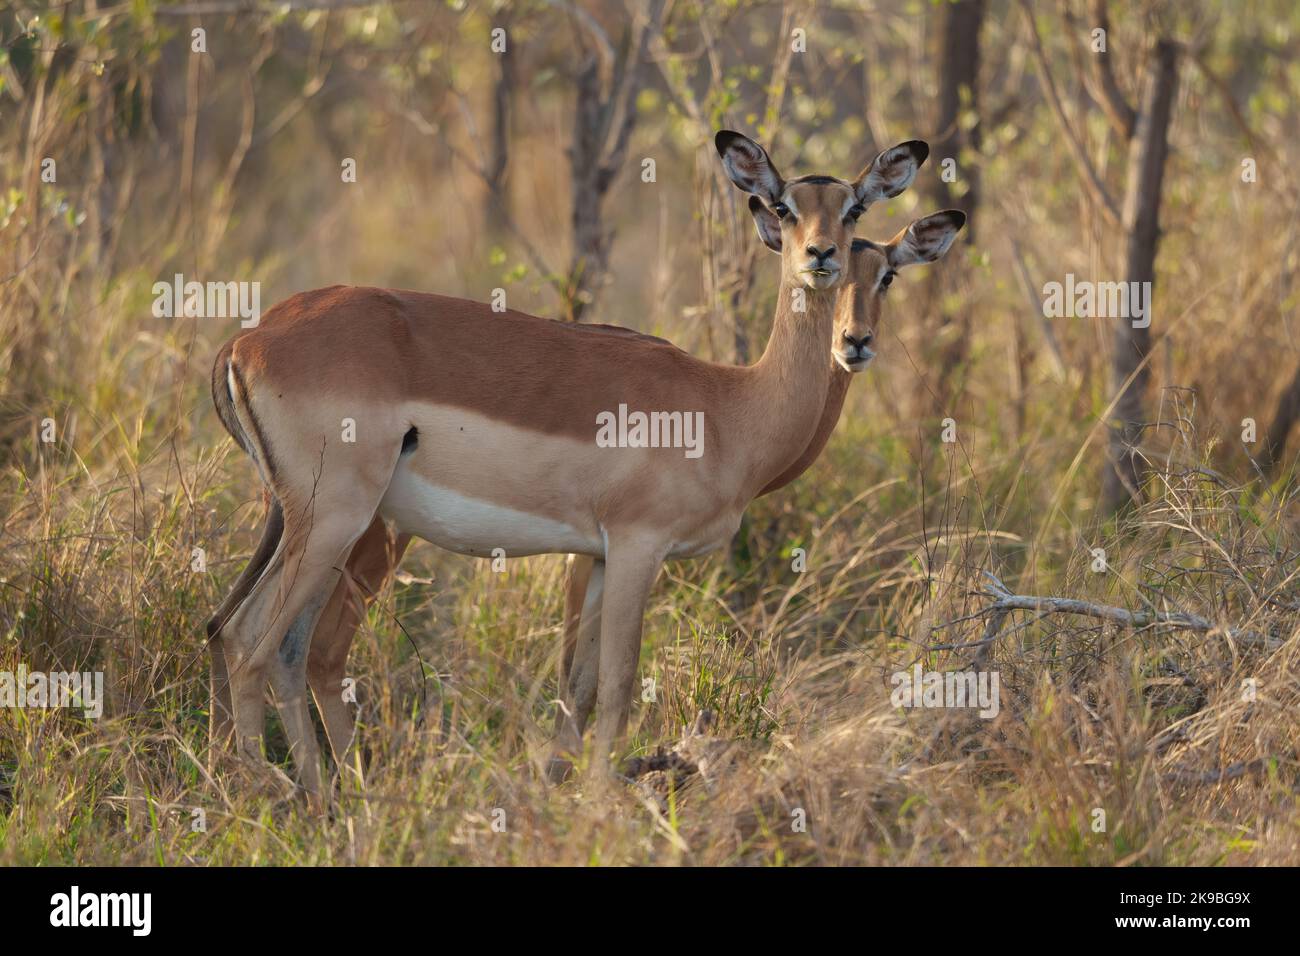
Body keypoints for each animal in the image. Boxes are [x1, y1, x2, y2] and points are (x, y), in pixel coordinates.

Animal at [206, 130, 955, 800]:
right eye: (785, 206)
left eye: (854, 212)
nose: (821, 258)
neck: (727, 408)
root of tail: (249, 340)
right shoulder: (636, 547)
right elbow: (620, 685)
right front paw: (600, 809)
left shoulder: (593, 556)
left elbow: (580, 688)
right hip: (336, 520)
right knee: (248, 641)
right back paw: (267, 794)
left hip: (334, 529)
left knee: (286, 648)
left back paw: (329, 800)